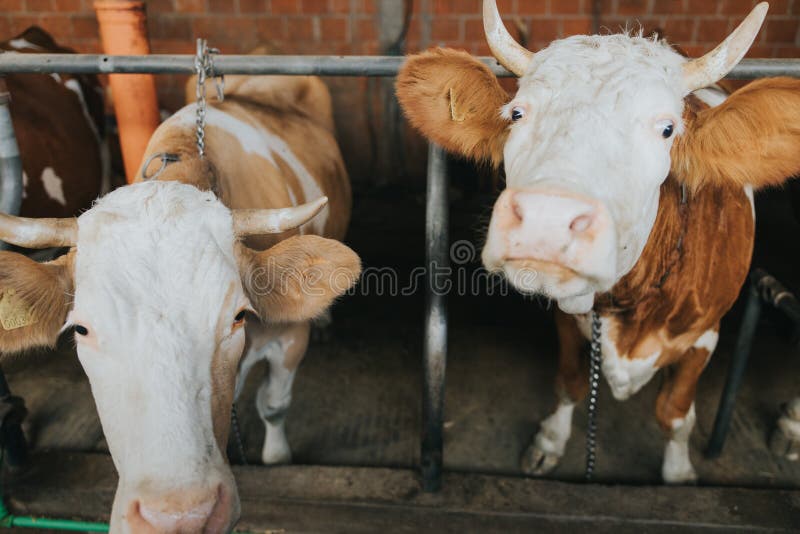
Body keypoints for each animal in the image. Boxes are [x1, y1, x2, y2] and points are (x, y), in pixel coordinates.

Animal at [0, 69, 360, 531]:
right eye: (81, 329)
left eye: (238, 316)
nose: (179, 517)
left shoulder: (290, 337)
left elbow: (274, 407)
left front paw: (278, 459)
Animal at [397, 1, 800, 483]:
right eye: (517, 114)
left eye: (667, 129)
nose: (547, 218)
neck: (629, 303)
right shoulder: (568, 318)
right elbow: (570, 384)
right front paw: (549, 442)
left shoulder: (705, 333)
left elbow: (675, 414)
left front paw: (679, 472)